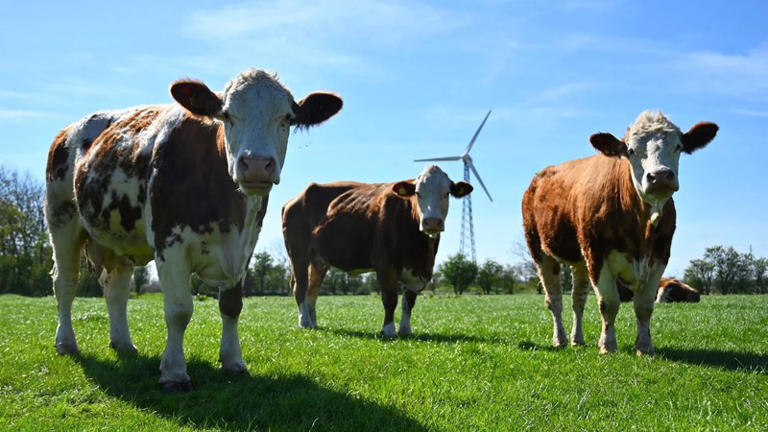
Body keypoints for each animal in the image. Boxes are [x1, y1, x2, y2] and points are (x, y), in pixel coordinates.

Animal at [44, 68, 342, 391]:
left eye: (287, 118)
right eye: (227, 115)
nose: (256, 164)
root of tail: (68, 131)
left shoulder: (246, 245)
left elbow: (232, 306)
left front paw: (233, 361)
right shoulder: (169, 241)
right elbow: (179, 310)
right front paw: (174, 372)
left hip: (118, 235)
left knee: (116, 288)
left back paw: (123, 342)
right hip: (61, 217)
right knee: (65, 283)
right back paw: (66, 343)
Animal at [281, 165, 473, 337]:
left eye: (447, 193)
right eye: (418, 193)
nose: (432, 222)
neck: (420, 249)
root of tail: (294, 199)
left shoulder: (420, 271)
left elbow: (409, 302)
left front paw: (405, 330)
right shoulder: (385, 263)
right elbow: (390, 299)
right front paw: (388, 330)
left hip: (319, 260)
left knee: (312, 290)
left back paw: (313, 322)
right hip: (298, 253)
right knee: (300, 286)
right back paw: (304, 322)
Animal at [522, 111, 717, 355]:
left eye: (678, 146)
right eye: (631, 150)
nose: (660, 176)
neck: (641, 228)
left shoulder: (660, 256)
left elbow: (644, 306)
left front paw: (644, 346)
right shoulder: (597, 255)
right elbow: (609, 303)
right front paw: (608, 346)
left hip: (580, 259)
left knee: (578, 300)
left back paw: (578, 339)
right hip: (540, 252)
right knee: (555, 301)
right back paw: (561, 339)